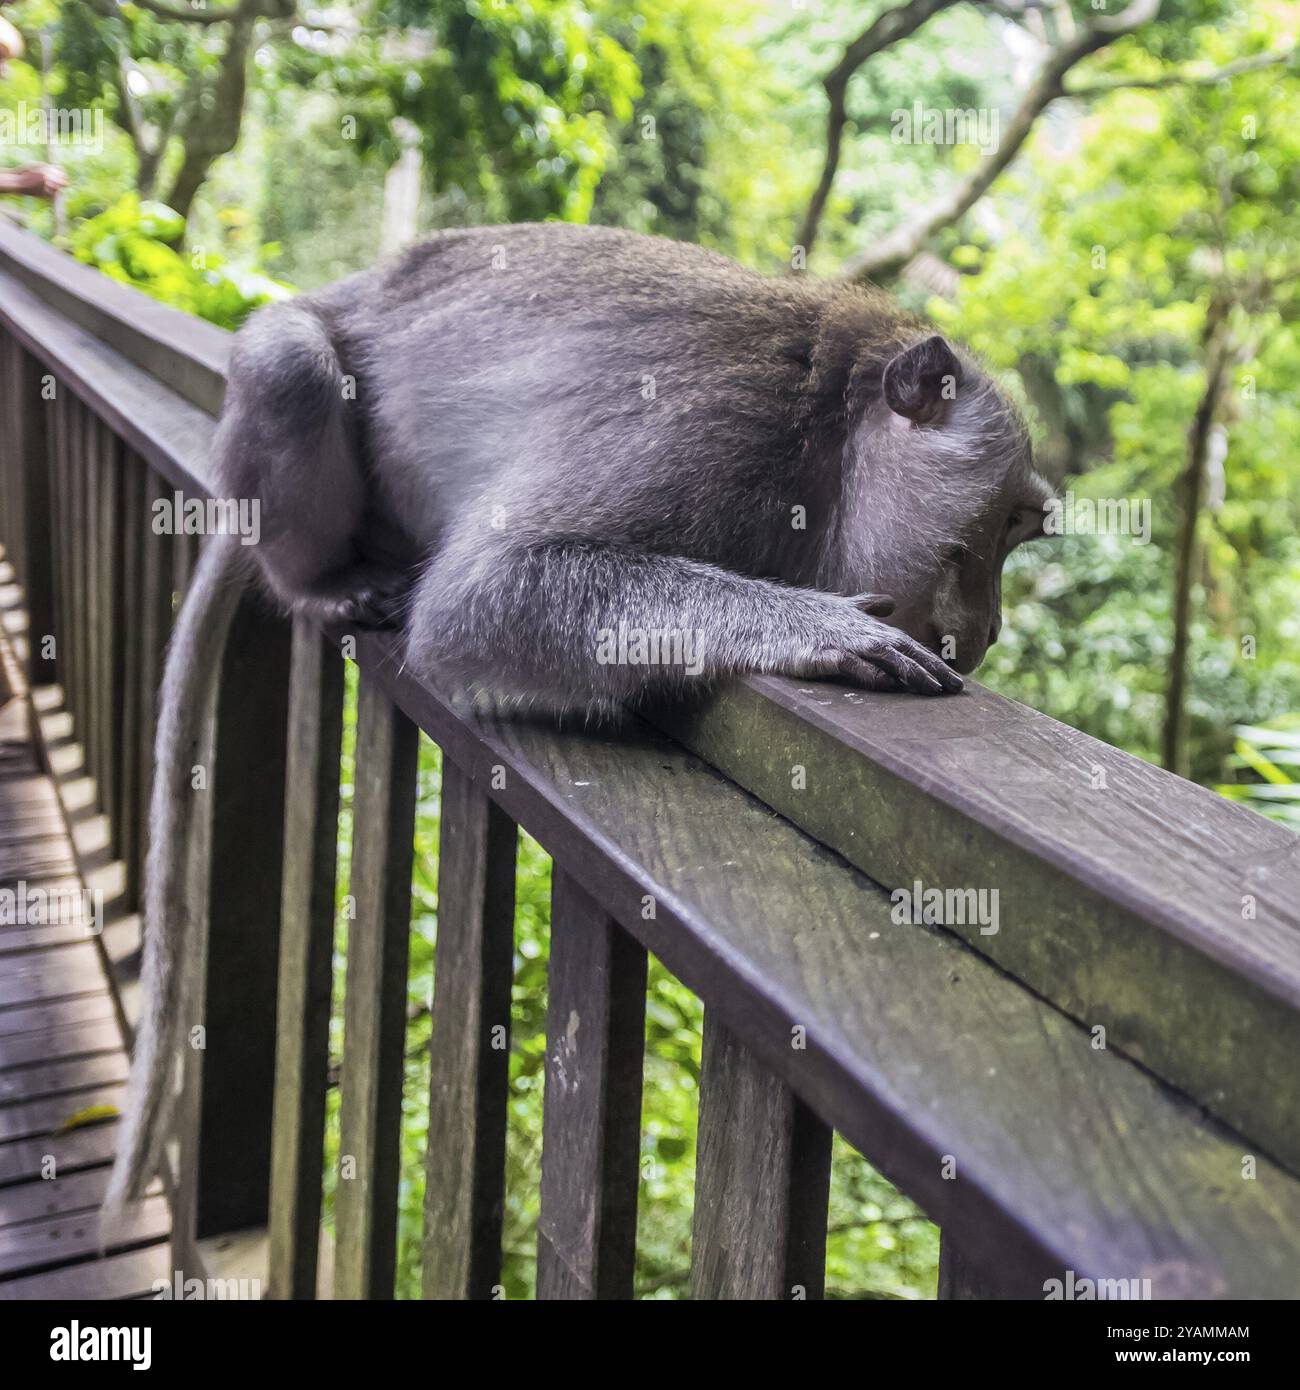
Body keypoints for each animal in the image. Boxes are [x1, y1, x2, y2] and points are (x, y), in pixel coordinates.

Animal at [102, 222, 1053, 1217]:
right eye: (1006, 524)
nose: (991, 628)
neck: (830, 438)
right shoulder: (720, 431)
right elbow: (482, 594)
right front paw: (819, 627)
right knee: (291, 366)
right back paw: (323, 581)